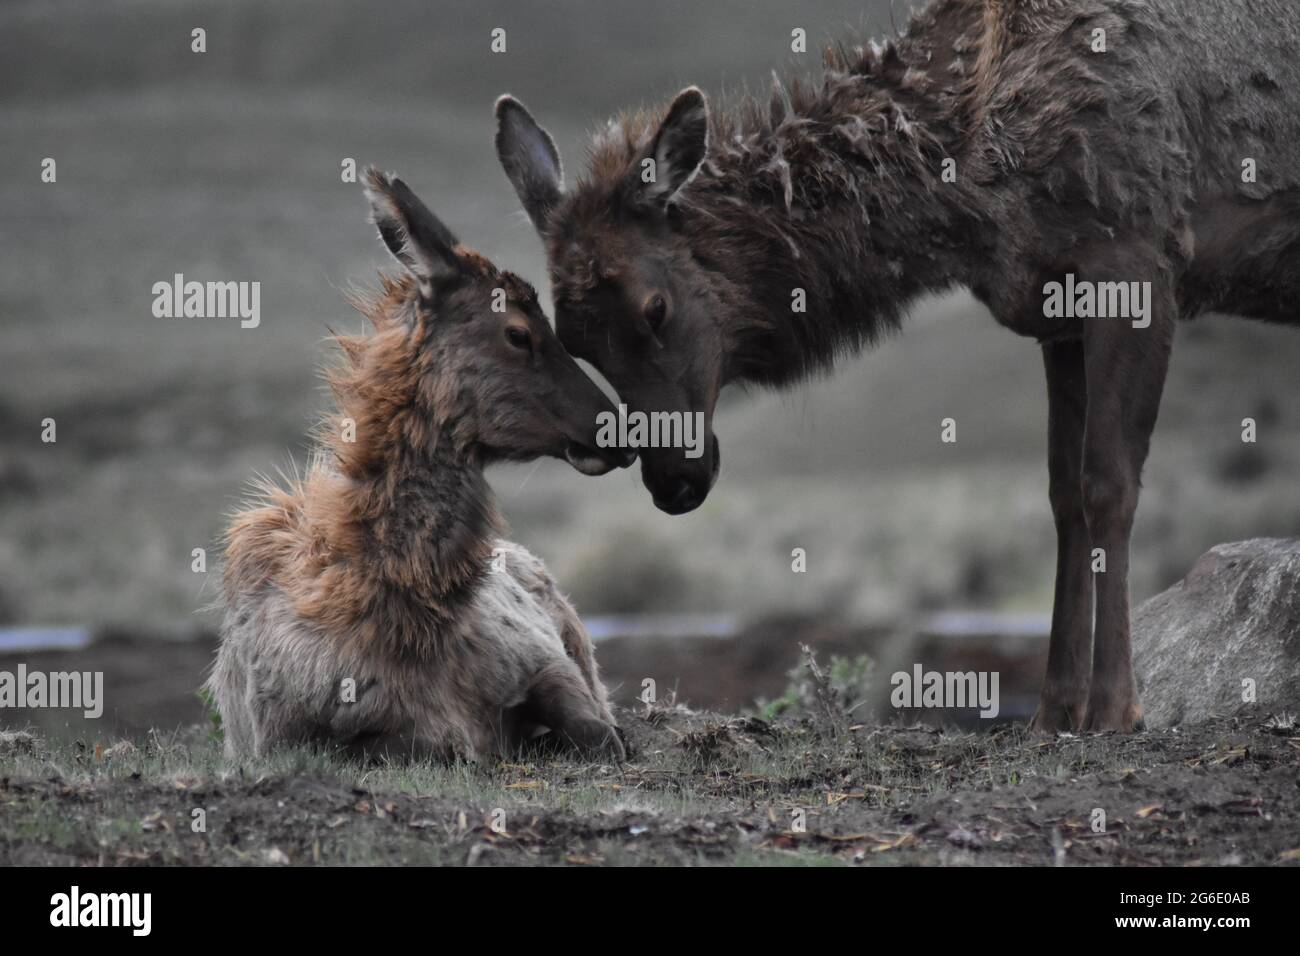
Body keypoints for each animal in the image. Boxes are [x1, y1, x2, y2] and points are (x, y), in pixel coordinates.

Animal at [207, 168, 632, 762]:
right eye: (518, 332)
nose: (620, 431)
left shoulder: (543, 657)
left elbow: (600, 733)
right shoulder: (286, 737)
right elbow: (435, 745)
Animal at [493, 0, 1300, 733]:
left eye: (654, 308)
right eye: (576, 340)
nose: (673, 479)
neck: (969, 179)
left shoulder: (1137, 262)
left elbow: (1109, 487)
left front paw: (1114, 709)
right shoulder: (1056, 308)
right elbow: (1063, 498)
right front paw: (1053, 712)